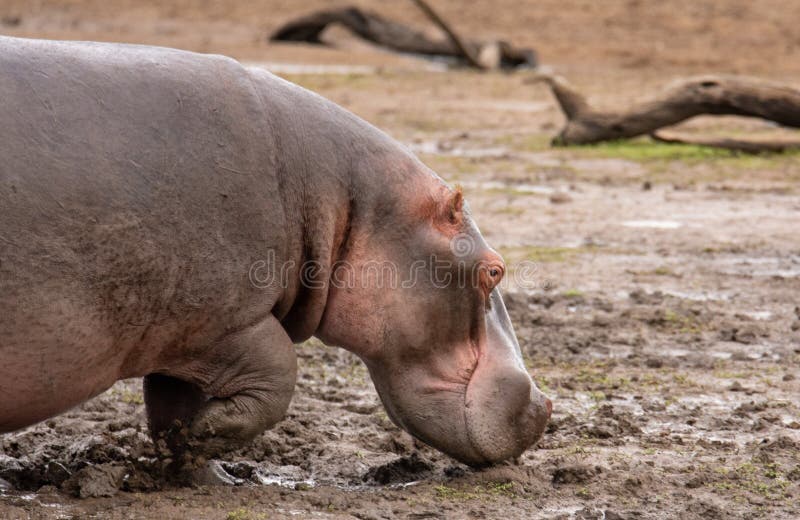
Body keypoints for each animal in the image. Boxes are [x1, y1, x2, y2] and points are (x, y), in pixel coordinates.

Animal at [0, 36, 550, 467]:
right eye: (495, 271)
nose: (545, 406)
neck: (341, 200)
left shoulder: (181, 334)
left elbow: (172, 405)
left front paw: (192, 460)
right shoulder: (223, 319)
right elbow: (281, 372)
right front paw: (207, 436)